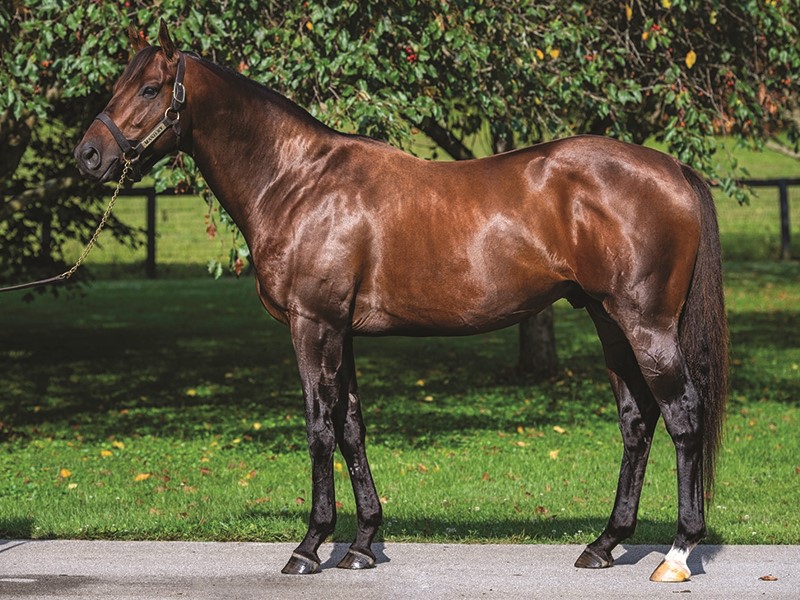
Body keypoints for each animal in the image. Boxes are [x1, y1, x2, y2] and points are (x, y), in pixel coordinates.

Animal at [75, 22, 727, 582]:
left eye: (150, 88)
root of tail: (672, 168)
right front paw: (362, 544)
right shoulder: (341, 330)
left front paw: (309, 547)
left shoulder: (312, 325)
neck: (297, 182)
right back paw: (604, 543)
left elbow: (318, 427)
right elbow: (351, 427)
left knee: (683, 416)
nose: (88, 156)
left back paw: (676, 553)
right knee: (637, 422)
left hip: (645, 326)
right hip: (607, 321)